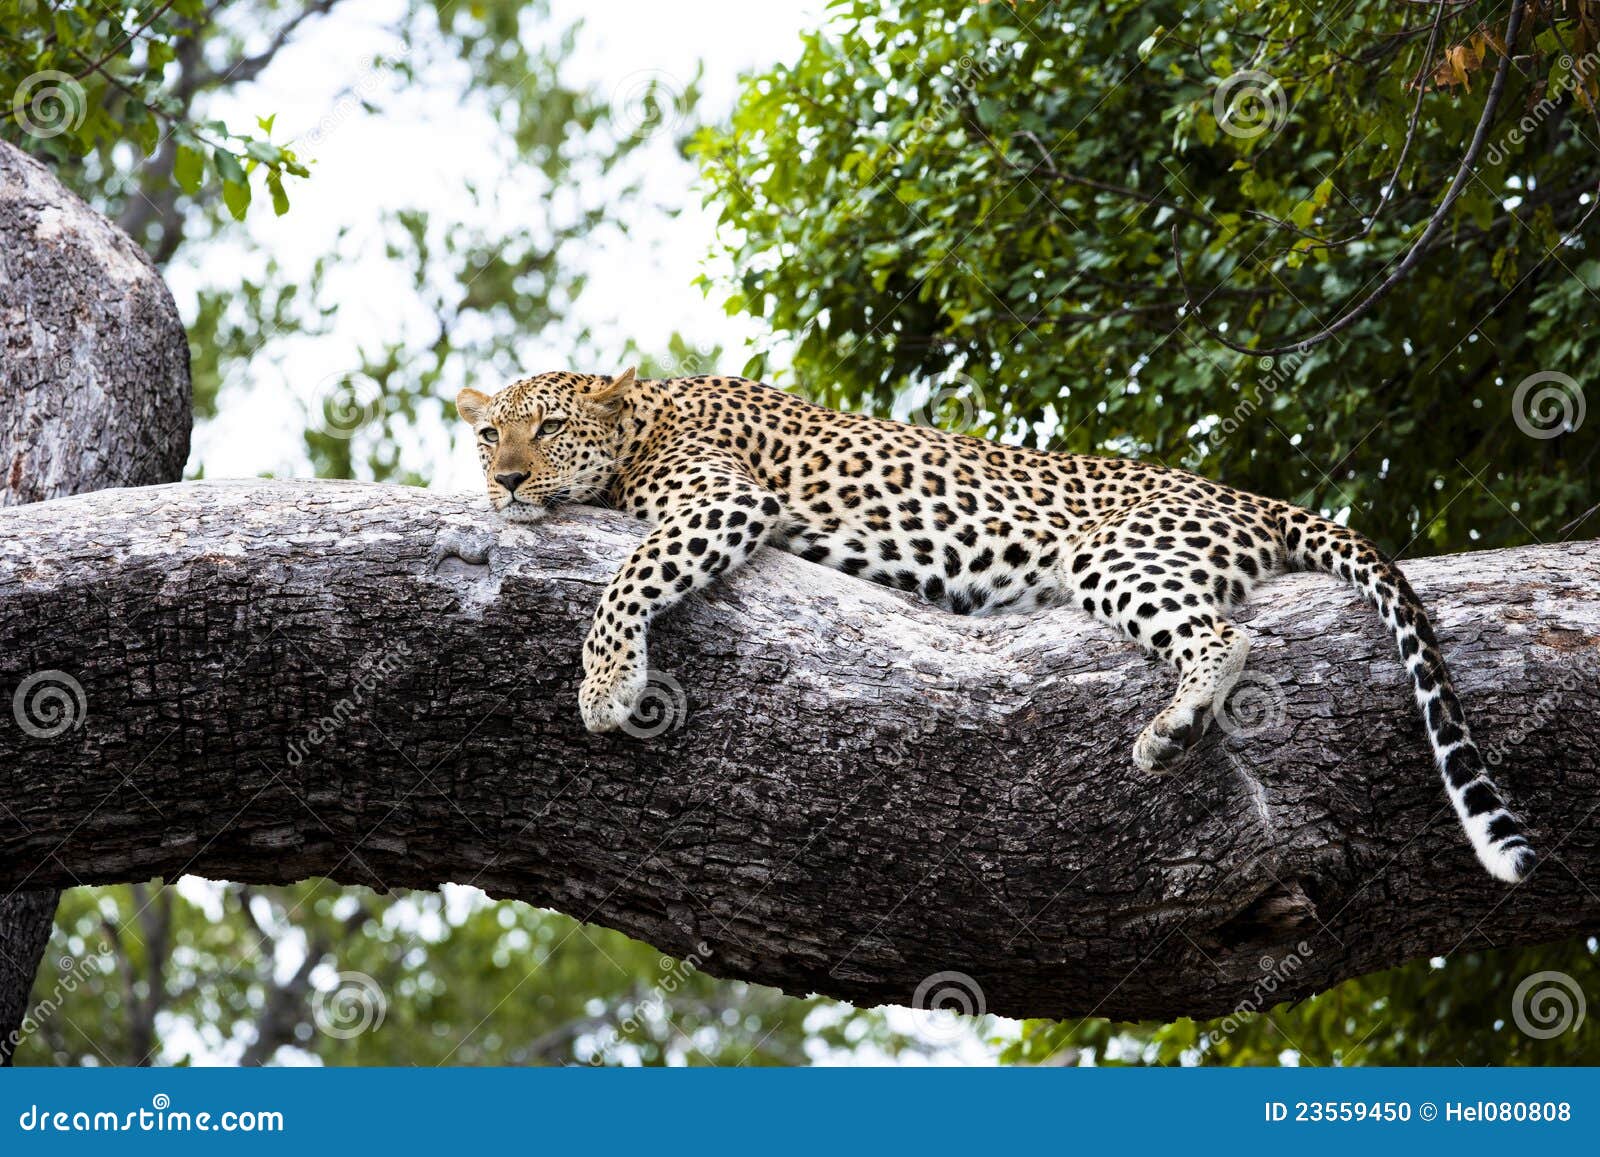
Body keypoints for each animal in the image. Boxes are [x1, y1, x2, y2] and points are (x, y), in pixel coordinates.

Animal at [455, 368, 1536, 884]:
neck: (639, 420)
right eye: (488, 431)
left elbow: (626, 576)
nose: (504, 478)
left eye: (549, 427)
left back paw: (1170, 728)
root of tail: (1249, 495)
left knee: (1225, 635)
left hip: (1112, 552)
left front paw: (606, 685)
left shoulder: (724, 498)